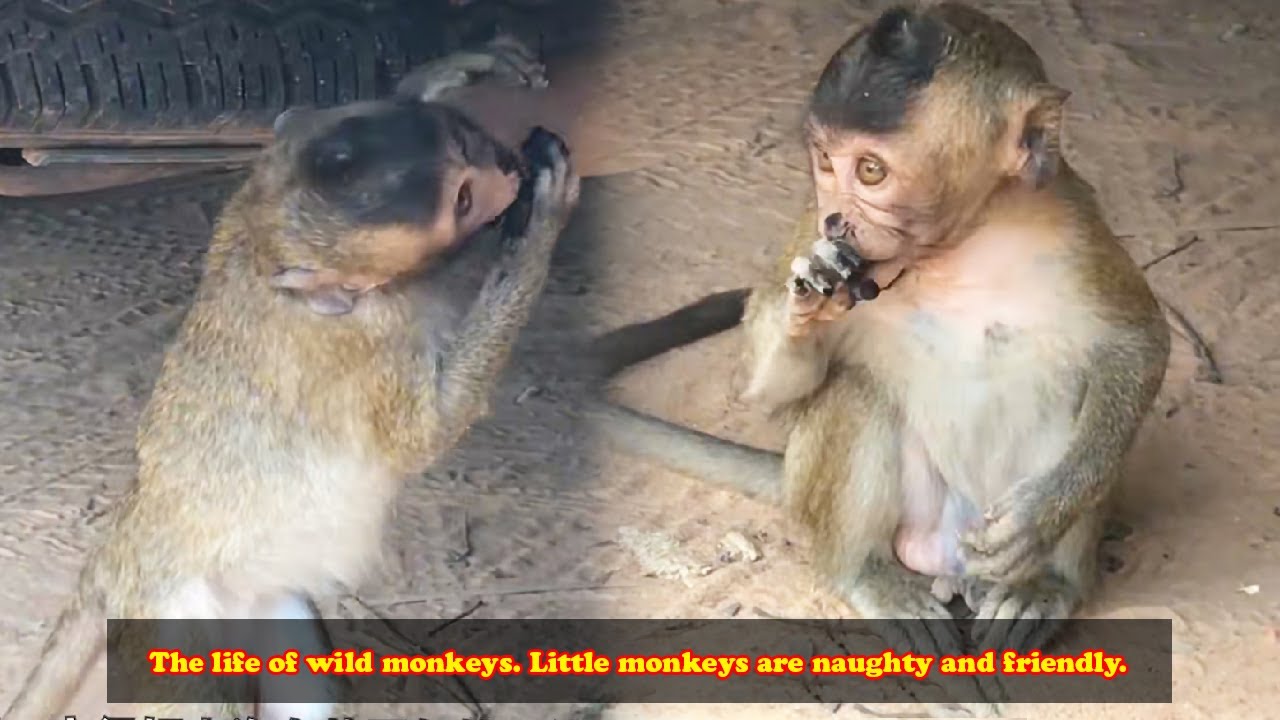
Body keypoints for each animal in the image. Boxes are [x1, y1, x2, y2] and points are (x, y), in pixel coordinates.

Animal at [2, 35, 581, 720]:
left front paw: (459, 67)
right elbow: (424, 437)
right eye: (464, 200)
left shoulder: (246, 200)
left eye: (465, 140)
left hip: (260, 605)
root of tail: (123, 549)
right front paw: (541, 224)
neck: (265, 242)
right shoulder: (365, 345)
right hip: (172, 632)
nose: (508, 172)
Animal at [584, 0, 1170, 671]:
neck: (960, 244)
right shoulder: (806, 224)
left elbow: (1136, 344)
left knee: (1078, 395)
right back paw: (865, 572)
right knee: (855, 391)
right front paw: (805, 296)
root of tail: (952, 564)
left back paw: (1041, 587)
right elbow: (765, 391)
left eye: (870, 170)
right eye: (824, 162)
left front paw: (1038, 515)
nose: (839, 219)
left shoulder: (1073, 218)